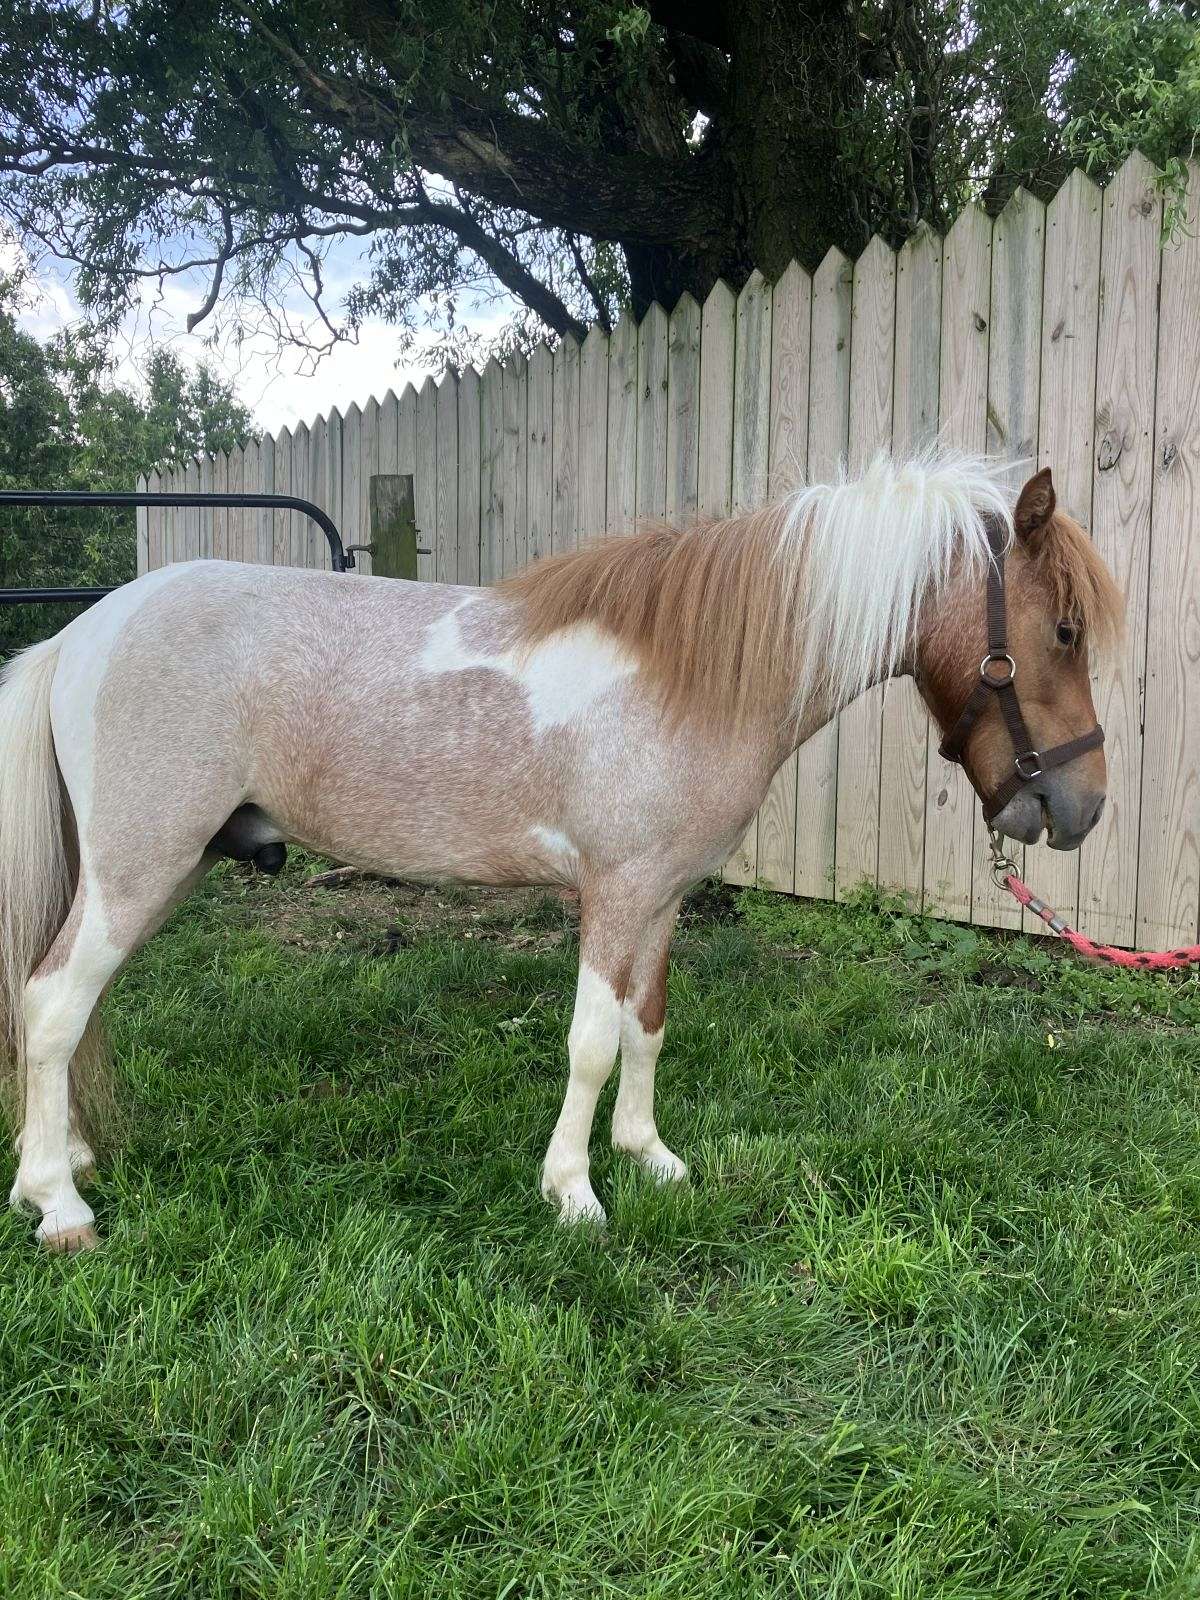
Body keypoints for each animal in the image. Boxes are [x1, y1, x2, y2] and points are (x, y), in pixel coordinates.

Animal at [0, 454, 1125, 1250]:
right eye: (1064, 630)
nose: (1080, 808)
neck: (689, 674)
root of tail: (84, 631)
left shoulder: (663, 895)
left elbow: (647, 1027)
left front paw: (647, 1156)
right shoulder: (614, 893)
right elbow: (590, 1039)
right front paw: (574, 1192)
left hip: (155, 871)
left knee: (69, 1008)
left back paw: (59, 1160)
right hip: (139, 869)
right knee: (52, 1003)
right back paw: (58, 1206)